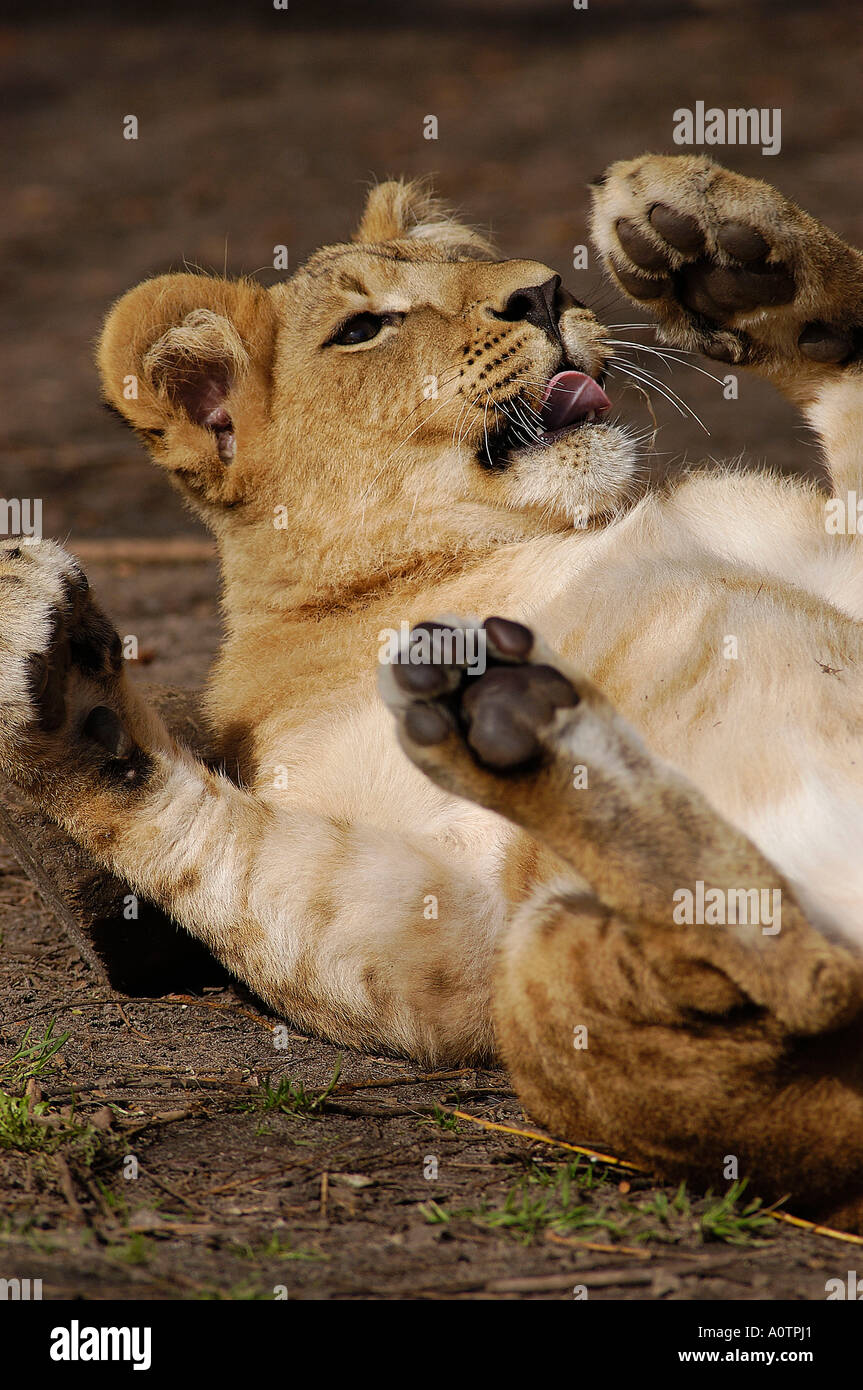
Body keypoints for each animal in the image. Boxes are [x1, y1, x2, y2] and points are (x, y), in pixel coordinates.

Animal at [3, 154, 863, 1229]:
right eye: (363, 328)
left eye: (472, 262)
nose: (545, 292)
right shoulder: (448, 948)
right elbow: (214, 852)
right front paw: (58, 677)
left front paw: (721, 243)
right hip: (540, 969)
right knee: (800, 978)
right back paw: (510, 722)